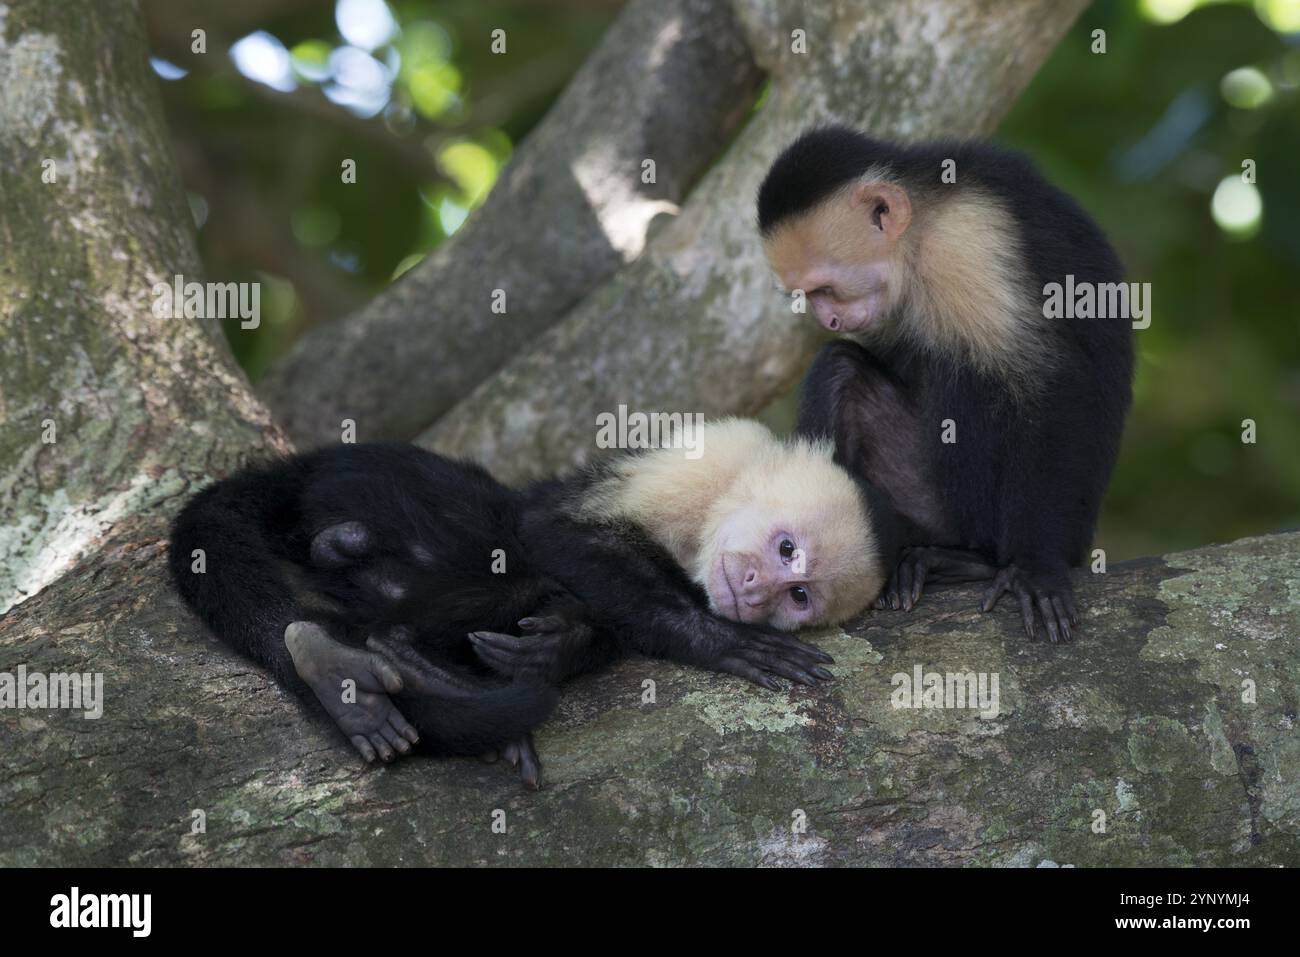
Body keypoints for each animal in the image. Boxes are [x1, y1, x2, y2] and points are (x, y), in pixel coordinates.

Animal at [169, 419, 892, 787]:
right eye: (786, 549)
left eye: (799, 595)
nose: (757, 591)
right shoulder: (705, 458)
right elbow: (550, 529)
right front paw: (722, 642)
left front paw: (565, 642)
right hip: (373, 485)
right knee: (500, 540)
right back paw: (369, 650)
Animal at [757, 126, 1134, 643]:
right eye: (807, 296)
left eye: (825, 290)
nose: (828, 319)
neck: (919, 227)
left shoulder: (967, 242)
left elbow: (1050, 382)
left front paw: (1034, 566)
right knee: (841, 369)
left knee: (968, 367)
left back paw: (972, 560)